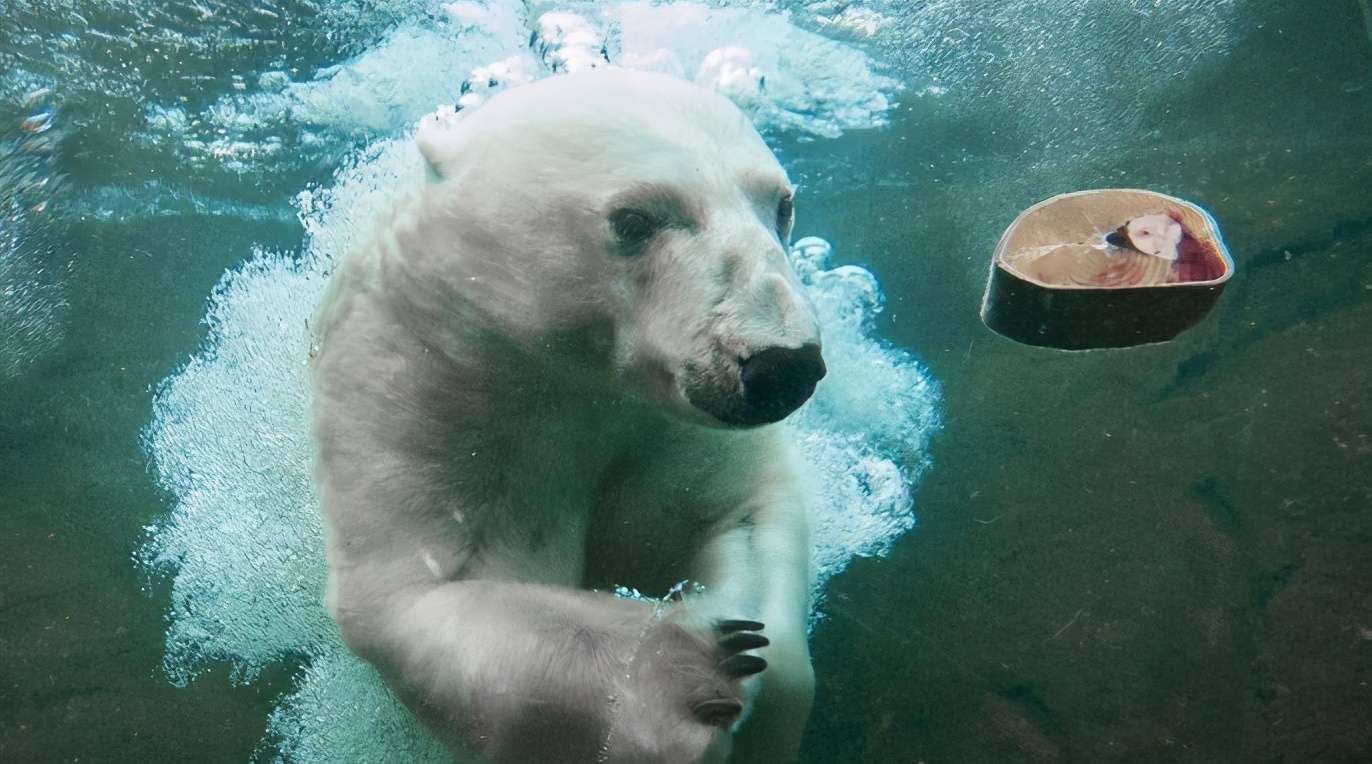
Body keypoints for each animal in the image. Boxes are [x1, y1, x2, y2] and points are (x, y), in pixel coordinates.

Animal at [309, 68, 824, 763]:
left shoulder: (667, 427)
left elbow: (738, 511)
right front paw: (687, 668)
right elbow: (420, 591)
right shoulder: (417, 385)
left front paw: (755, 669)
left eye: (781, 204)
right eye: (634, 219)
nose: (781, 366)